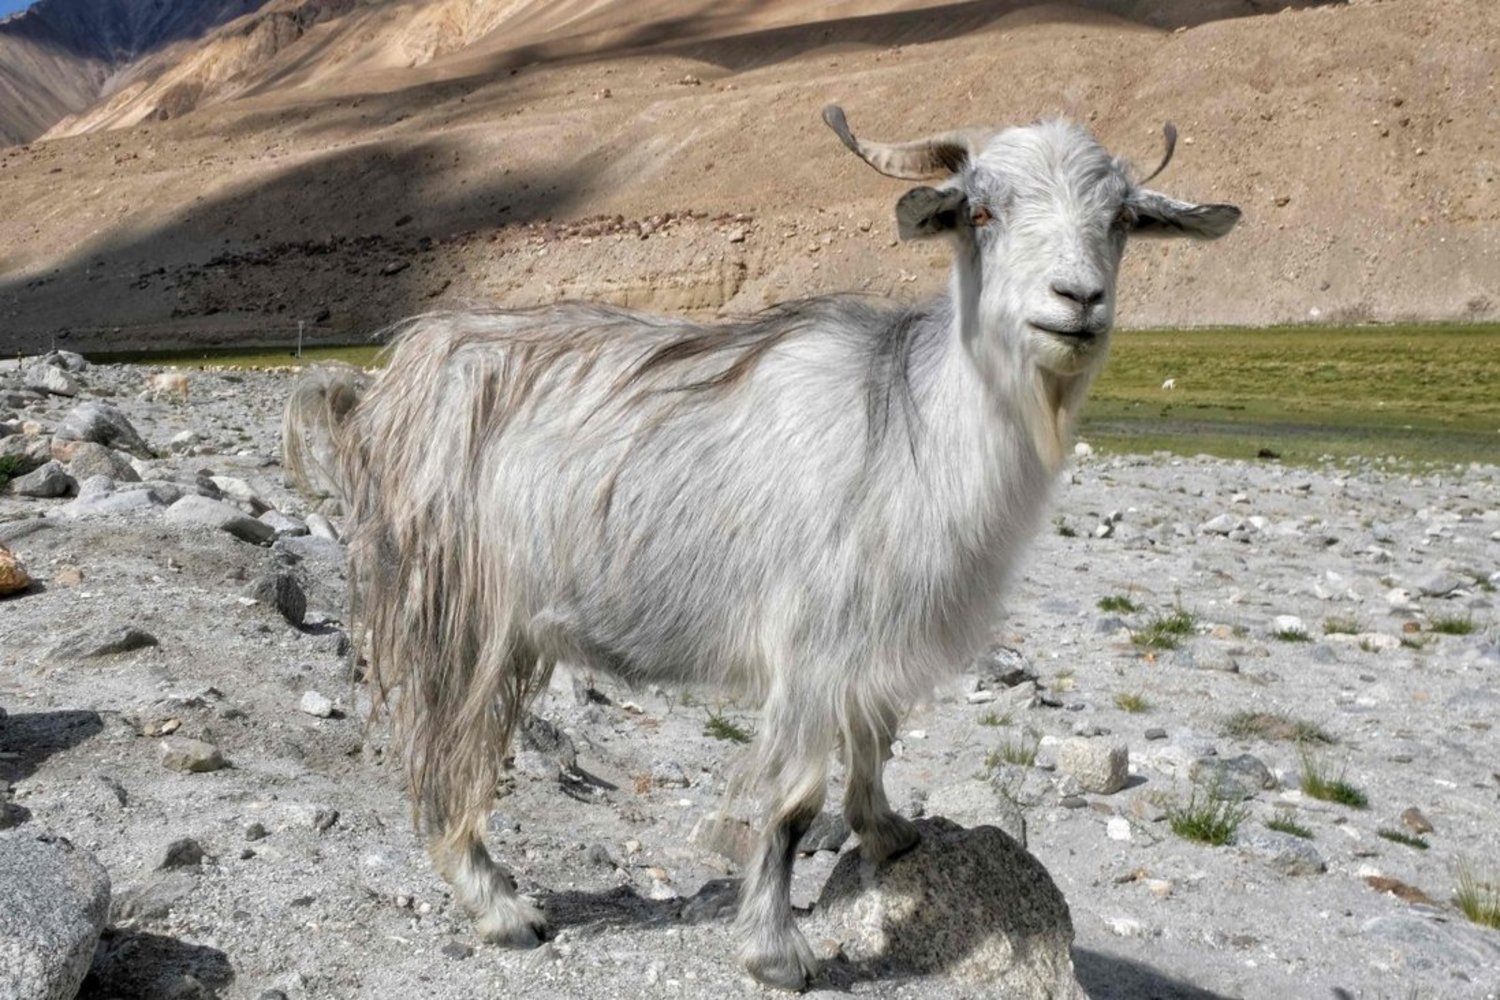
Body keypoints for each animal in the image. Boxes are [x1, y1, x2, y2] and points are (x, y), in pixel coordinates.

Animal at [283, 106, 1240, 990]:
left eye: (1121, 220)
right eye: (981, 211)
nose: (1076, 300)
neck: (914, 423)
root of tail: (378, 391)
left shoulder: (868, 639)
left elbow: (876, 739)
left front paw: (889, 832)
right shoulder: (812, 644)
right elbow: (791, 805)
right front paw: (777, 952)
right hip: (455, 608)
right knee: (446, 753)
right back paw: (502, 909)